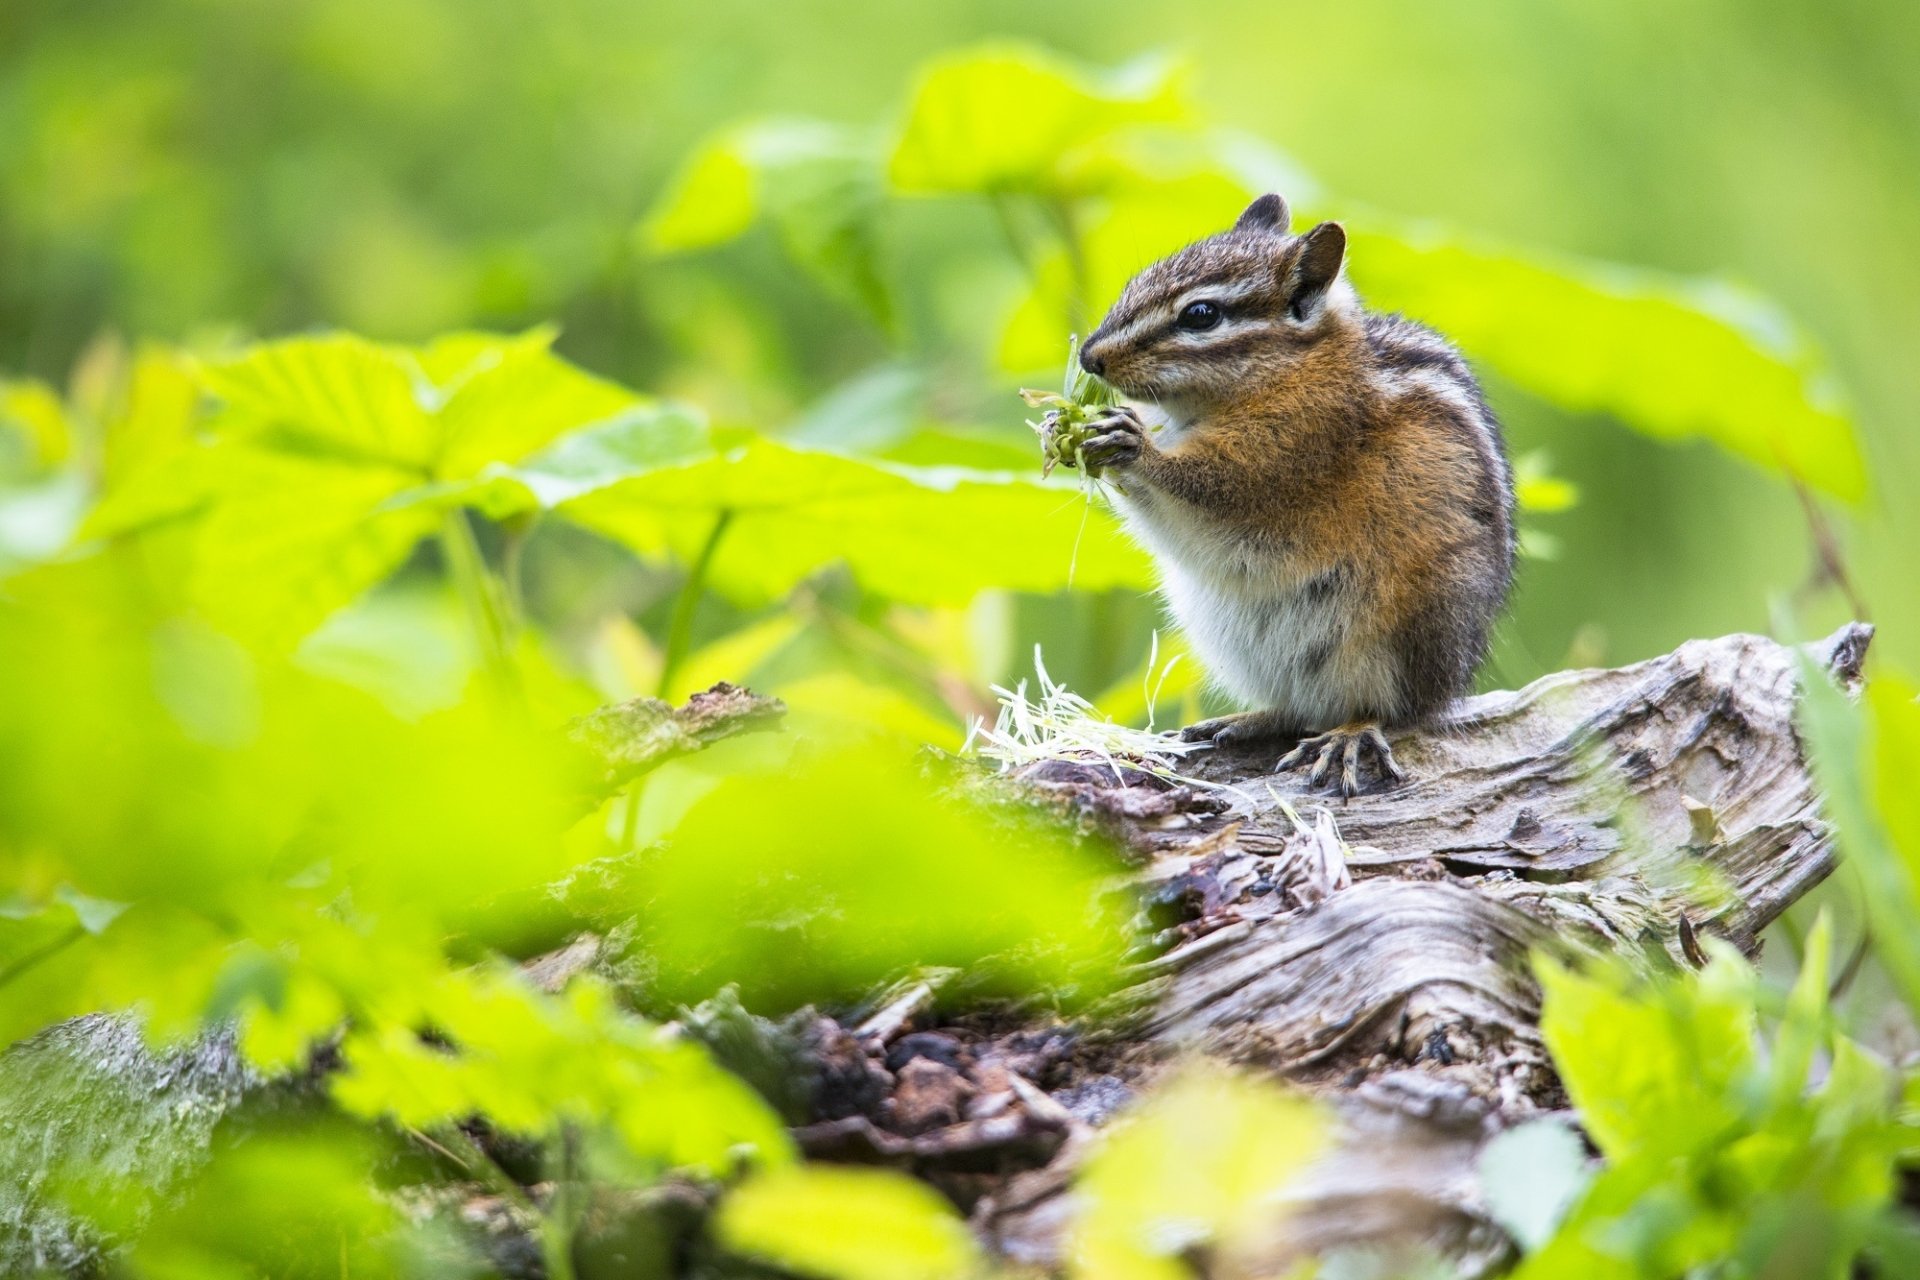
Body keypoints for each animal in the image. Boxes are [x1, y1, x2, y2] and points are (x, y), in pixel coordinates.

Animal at [1068, 192, 1515, 795]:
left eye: (1201, 315)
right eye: (1135, 281)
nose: (1090, 357)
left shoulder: (1290, 446)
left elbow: (1215, 485)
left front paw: (1133, 443)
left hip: (1397, 632)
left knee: (1387, 710)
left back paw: (1351, 733)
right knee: (1300, 707)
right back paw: (1250, 719)